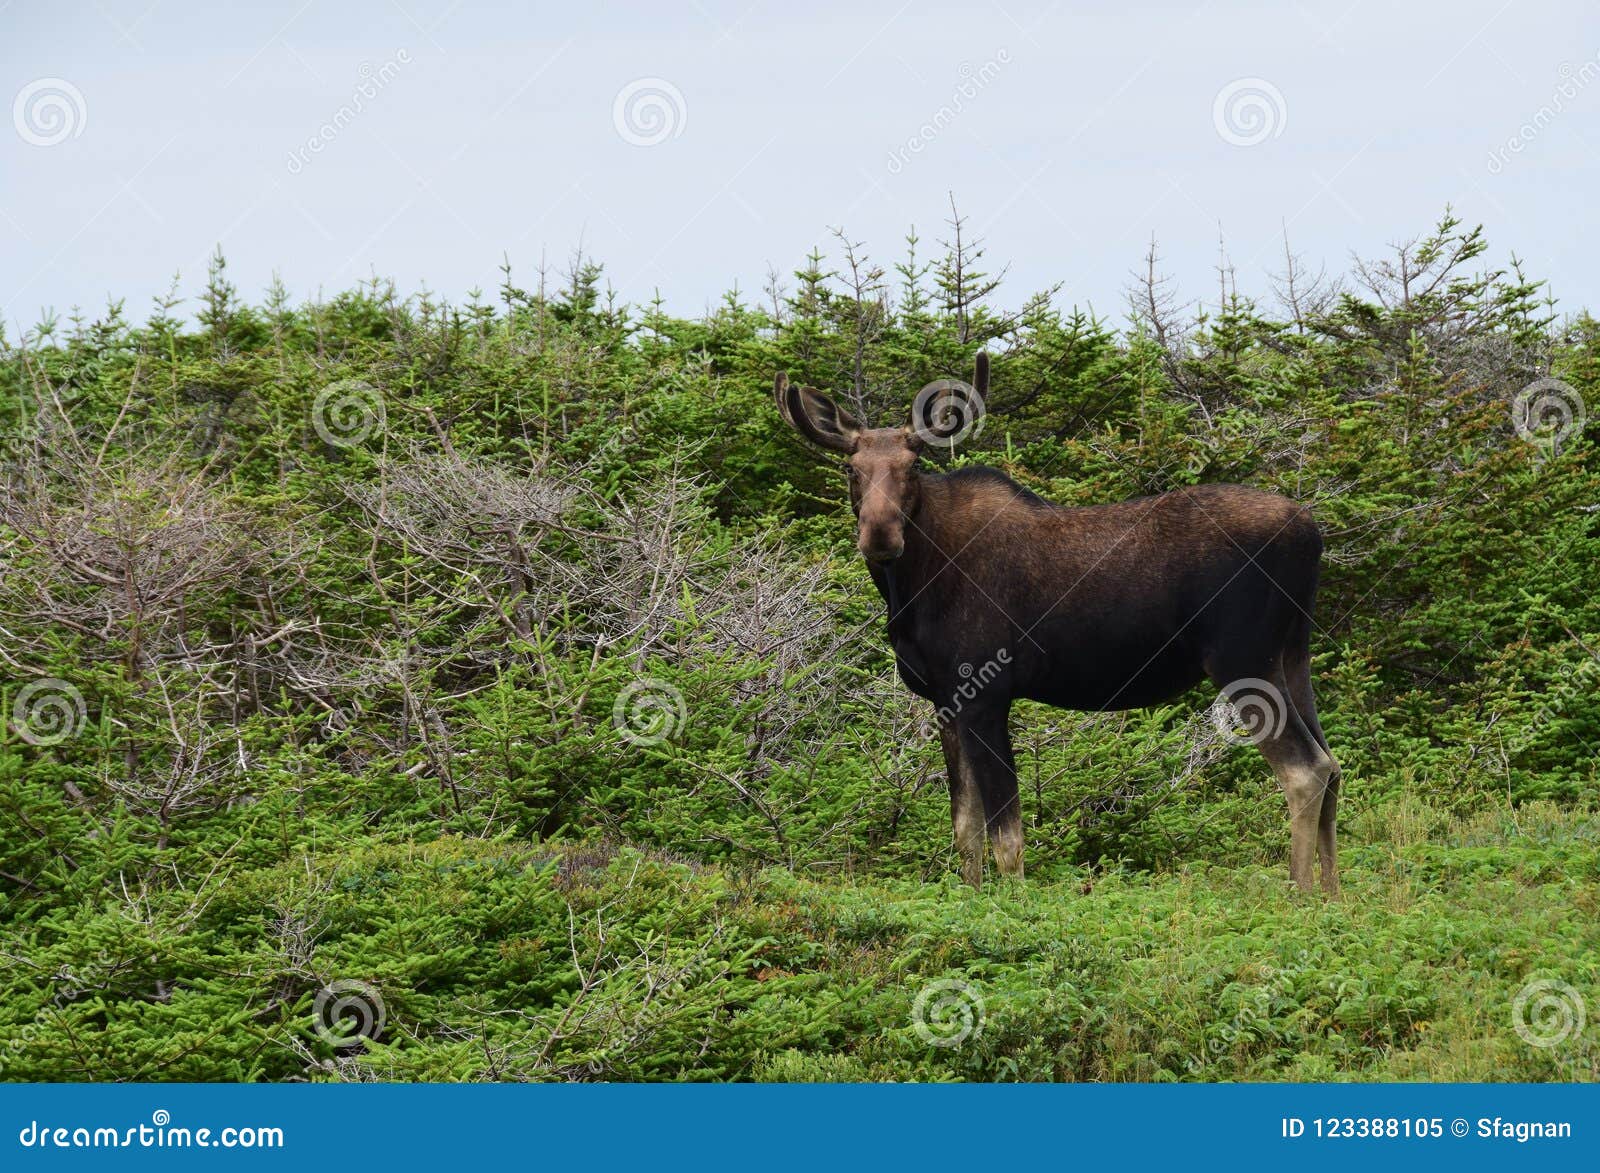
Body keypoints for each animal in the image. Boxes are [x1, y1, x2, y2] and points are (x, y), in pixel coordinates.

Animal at [775, 352, 1341, 895]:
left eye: (912, 466)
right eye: (851, 468)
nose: (880, 534)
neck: (910, 587)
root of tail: (1311, 533)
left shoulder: (985, 692)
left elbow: (1007, 835)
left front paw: (1015, 904)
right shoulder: (945, 699)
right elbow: (965, 829)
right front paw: (970, 898)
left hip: (1242, 658)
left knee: (1305, 770)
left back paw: (1299, 893)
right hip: (1293, 655)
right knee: (1331, 764)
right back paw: (1333, 896)